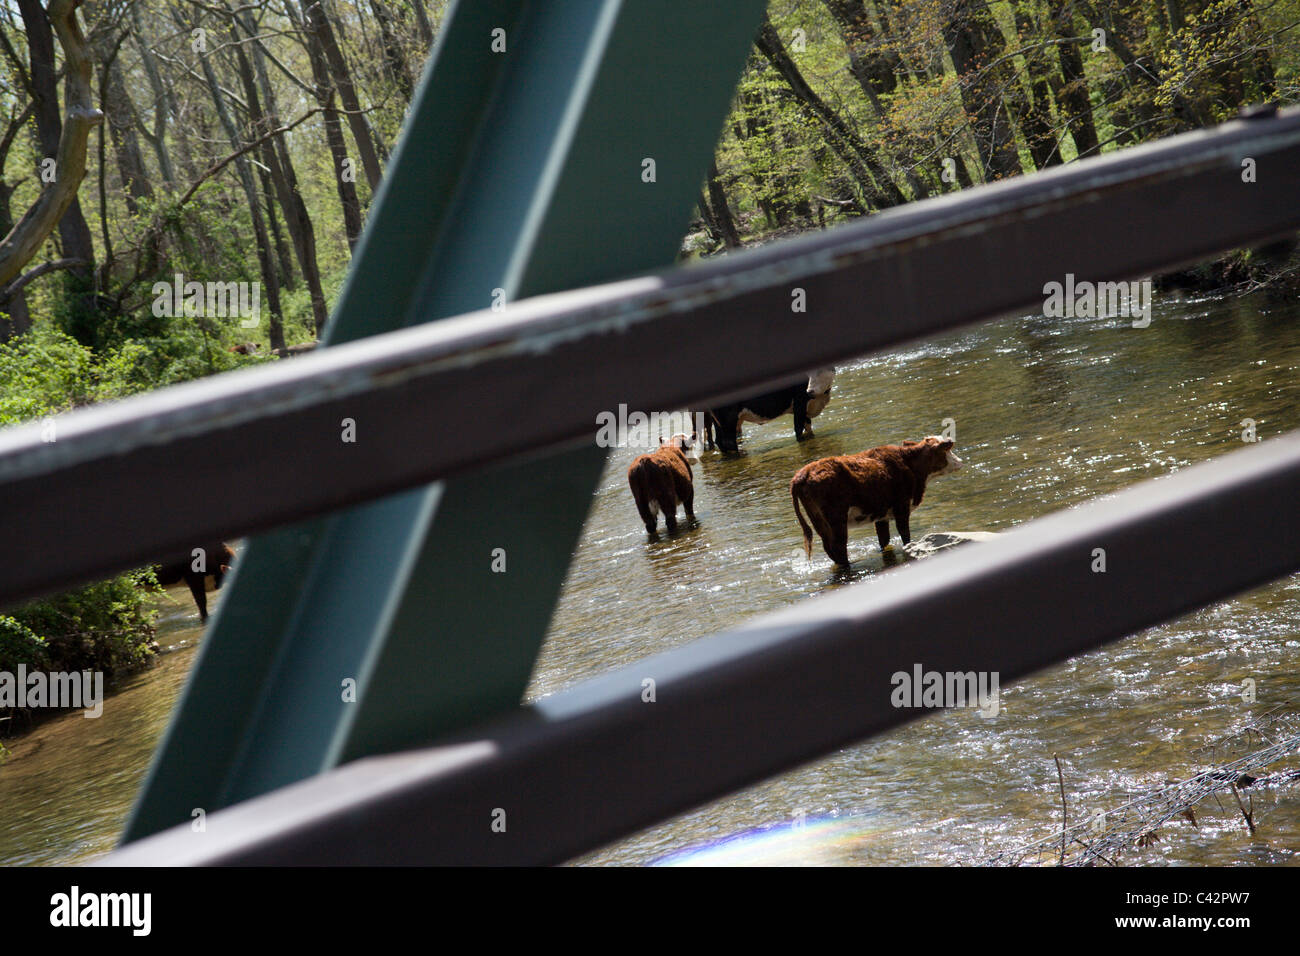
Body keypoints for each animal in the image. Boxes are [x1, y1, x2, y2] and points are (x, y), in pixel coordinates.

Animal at [696, 368, 835, 452]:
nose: (809, 391)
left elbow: (809, 428)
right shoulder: (799, 404)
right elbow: (798, 429)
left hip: (718, 420)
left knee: (719, 441)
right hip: (728, 418)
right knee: (728, 441)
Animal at [790, 437, 962, 567]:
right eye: (947, 450)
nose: (960, 461)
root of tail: (804, 473)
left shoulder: (881, 515)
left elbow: (884, 539)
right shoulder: (902, 507)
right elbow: (904, 534)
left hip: (818, 521)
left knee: (829, 548)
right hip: (836, 519)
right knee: (838, 547)